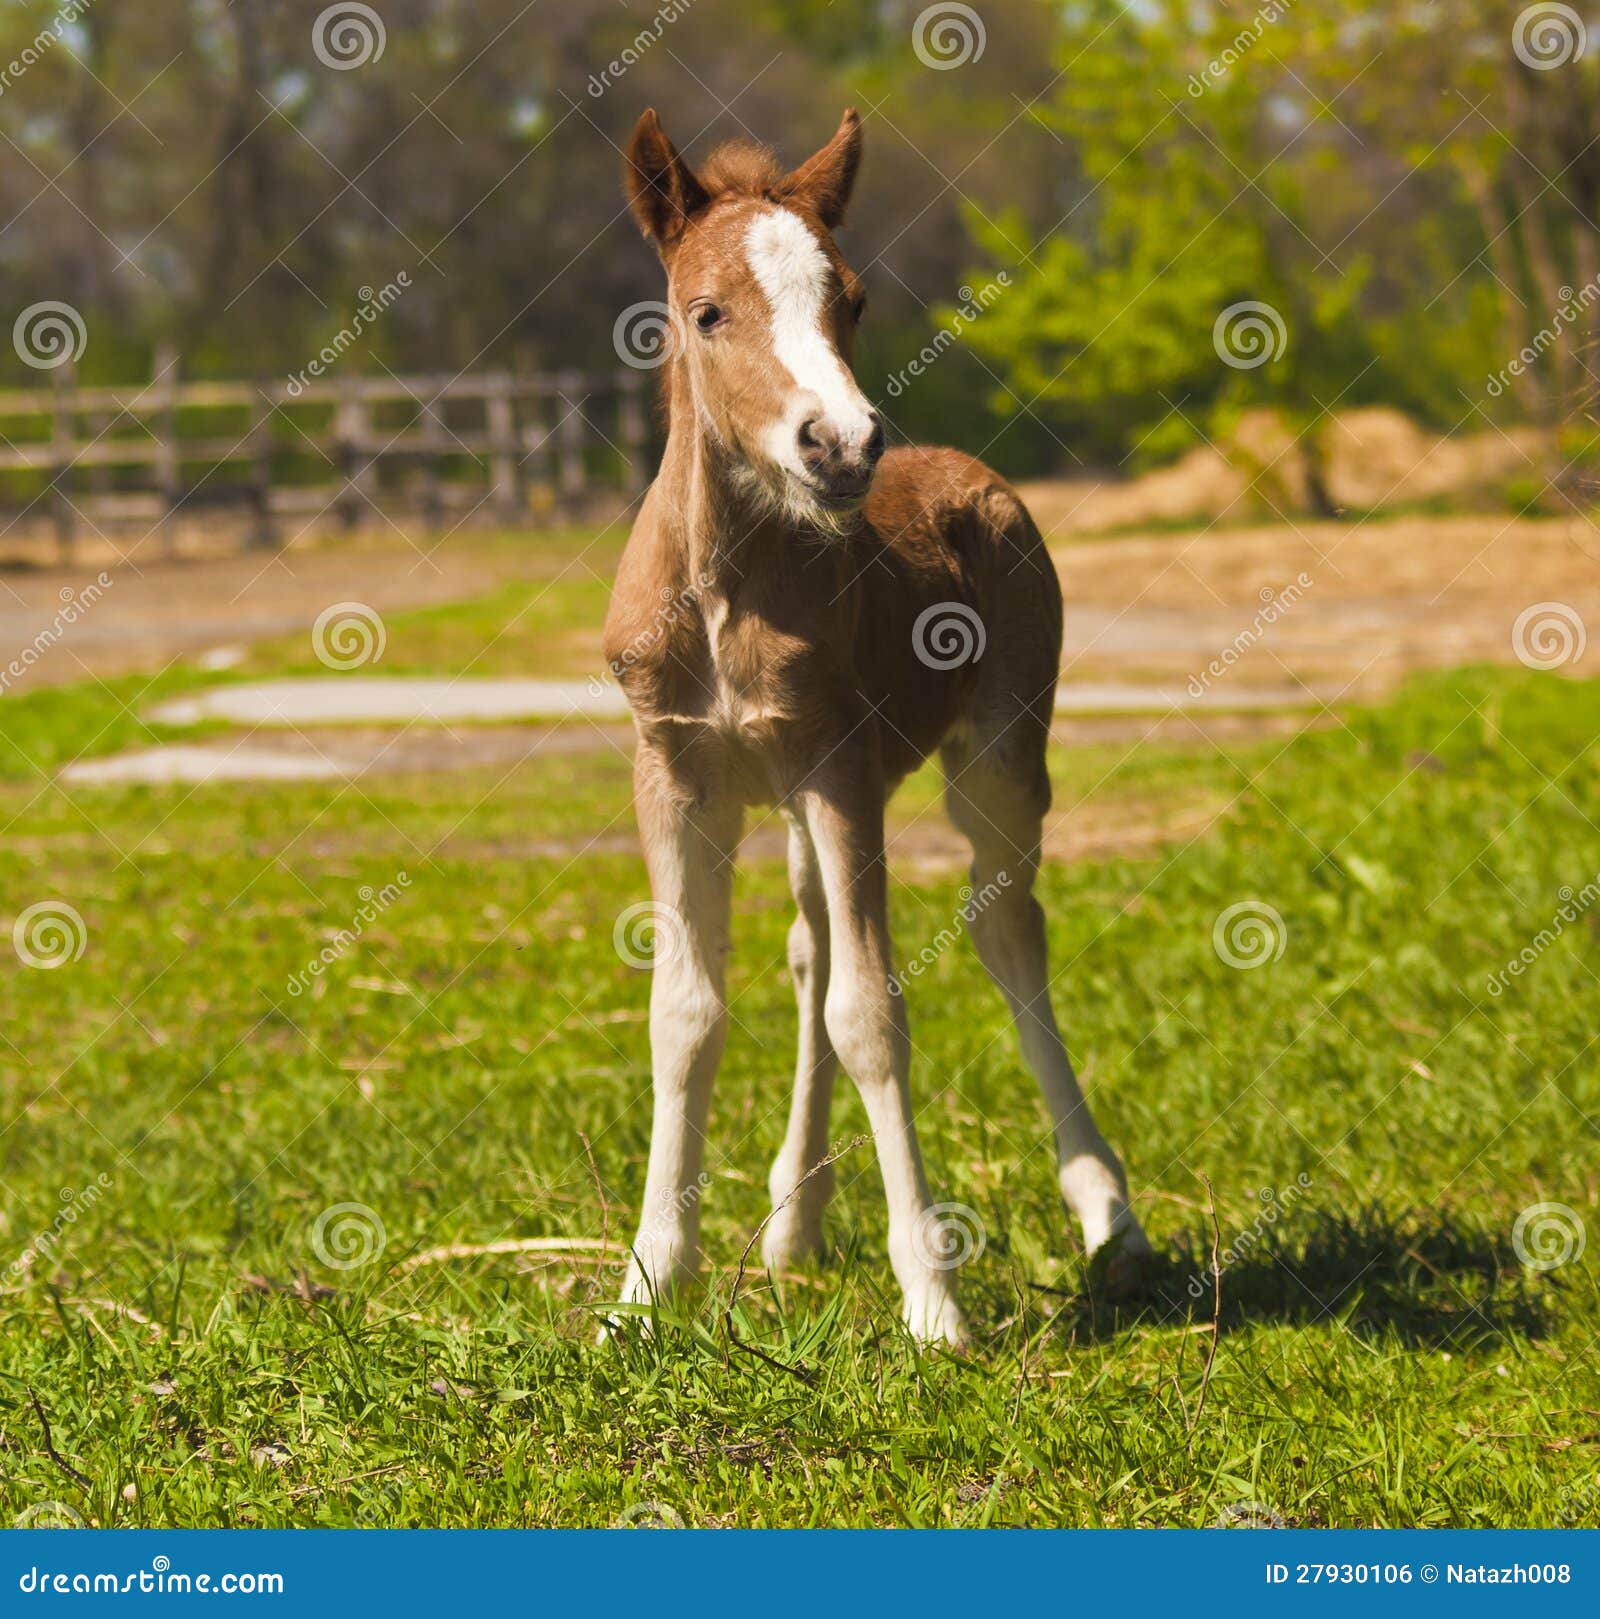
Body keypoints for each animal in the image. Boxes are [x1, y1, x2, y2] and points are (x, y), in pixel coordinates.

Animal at [602, 107, 1150, 1344]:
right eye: (706, 312)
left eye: (849, 301)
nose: (844, 444)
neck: (725, 594)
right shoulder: (676, 771)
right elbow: (685, 1012)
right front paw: (648, 1282)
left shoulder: (838, 770)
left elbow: (872, 1012)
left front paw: (933, 1301)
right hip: (790, 799)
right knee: (810, 942)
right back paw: (792, 1224)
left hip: (996, 760)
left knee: (1008, 931)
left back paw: (1109, 1213)